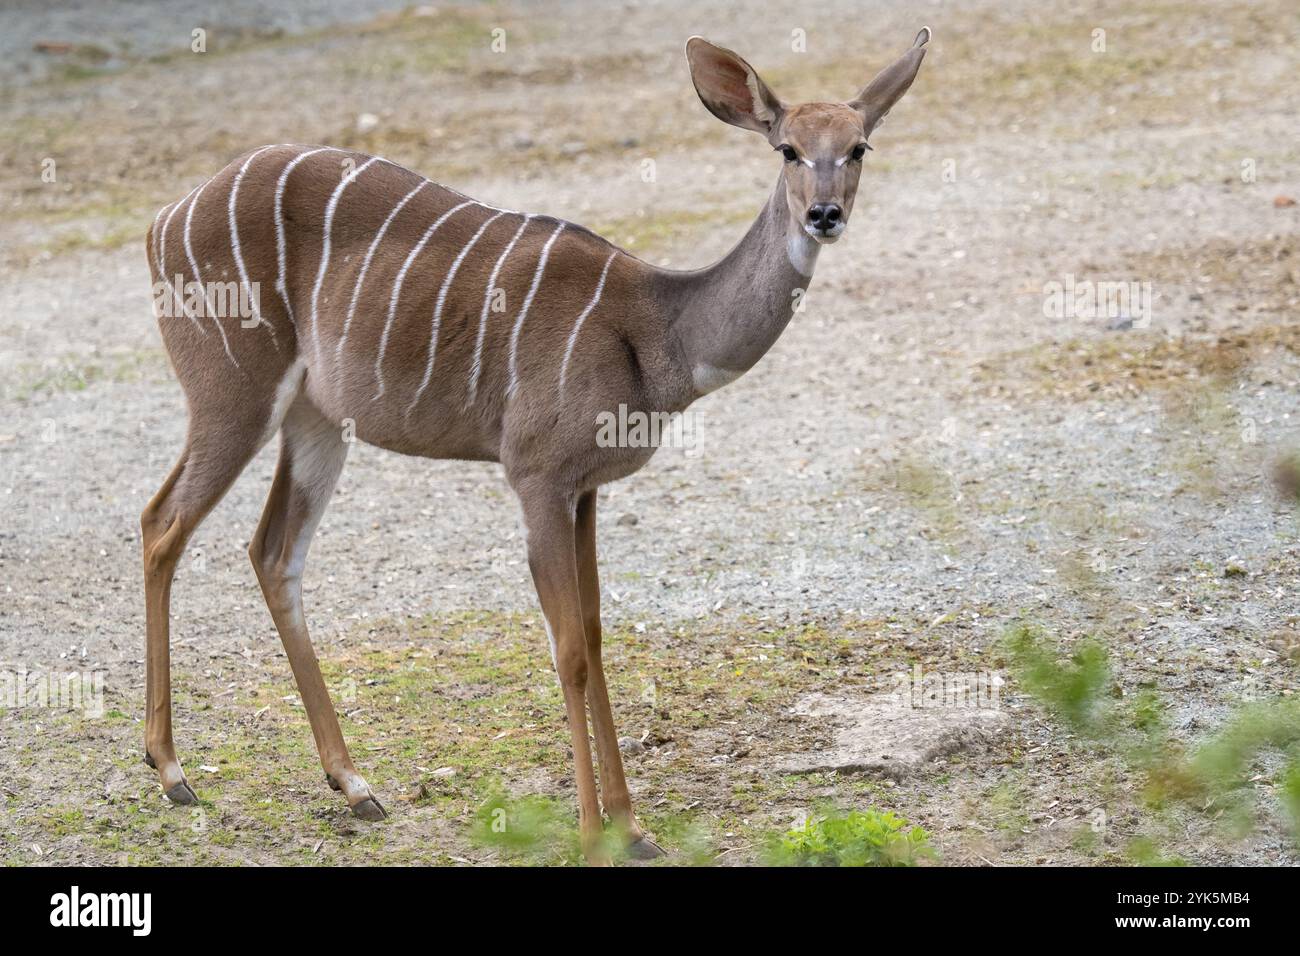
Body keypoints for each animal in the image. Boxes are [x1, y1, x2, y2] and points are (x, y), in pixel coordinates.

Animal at [141, 28, 930, 863]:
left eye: (858, 145)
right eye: (787, 149)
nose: (824, 214)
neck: (657, 331)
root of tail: (163, 219)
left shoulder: (588, 486)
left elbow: (597, 632)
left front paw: (635, 826)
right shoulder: (537, 474)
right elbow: (568, 648)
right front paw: (590, 833)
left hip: (316, 420)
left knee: (272, 551)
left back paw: (355, 786)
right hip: (231, 393)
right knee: (162, 524)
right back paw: (172, 771)